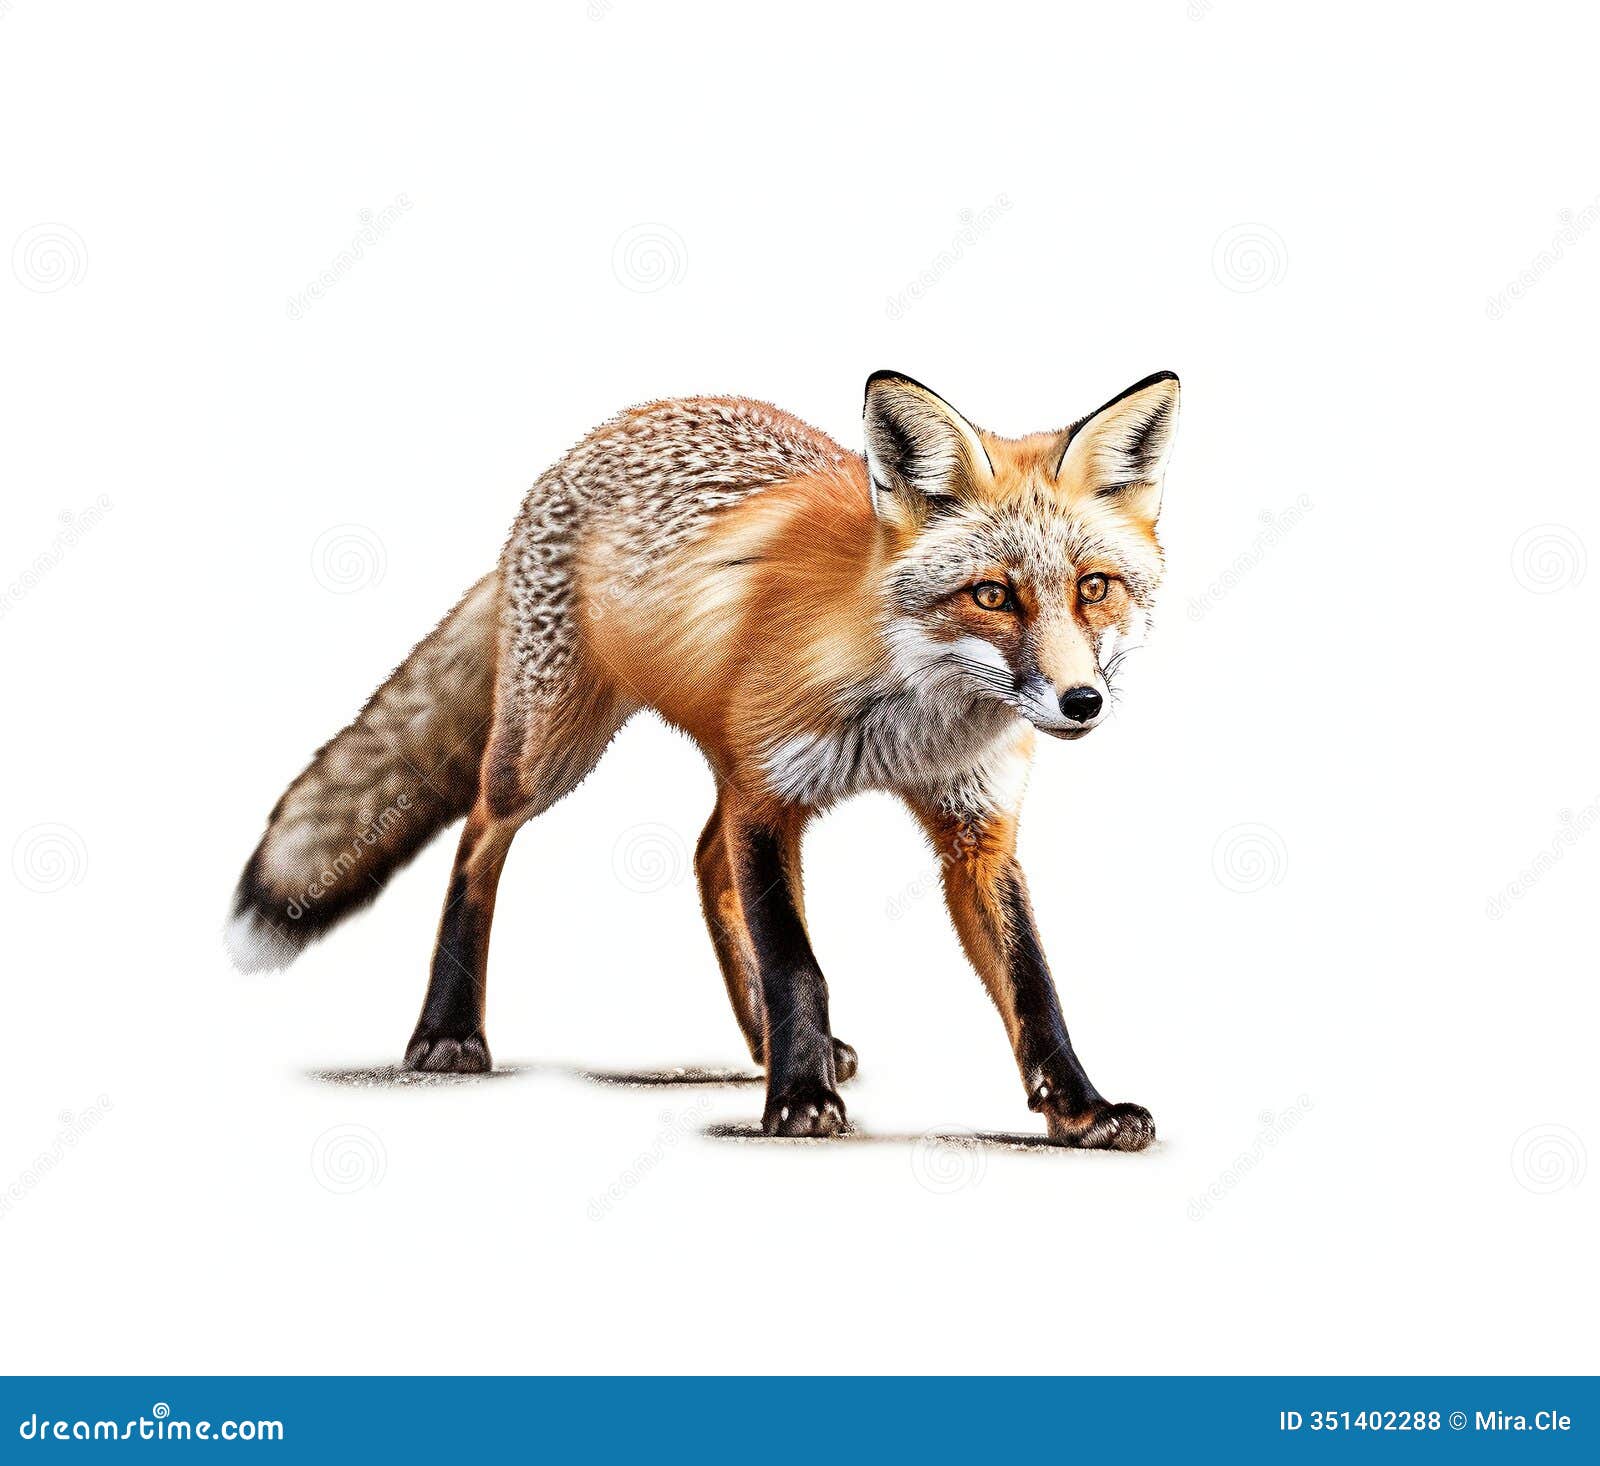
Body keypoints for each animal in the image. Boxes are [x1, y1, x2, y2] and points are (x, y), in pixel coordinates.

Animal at [227, 369, 1180, 1148]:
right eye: (992, 596)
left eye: (1093, 588)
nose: (1081, 702)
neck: (917, 716)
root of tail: (595, 438)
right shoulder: (771, 792)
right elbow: (797, 964)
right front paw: (798, 1100)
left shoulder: (974, 826)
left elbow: (1034, 987)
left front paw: (1081, 1111)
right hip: (553, 748)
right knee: (479, 837)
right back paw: (450, 1030)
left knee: (701, 858)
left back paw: (764, 1044)